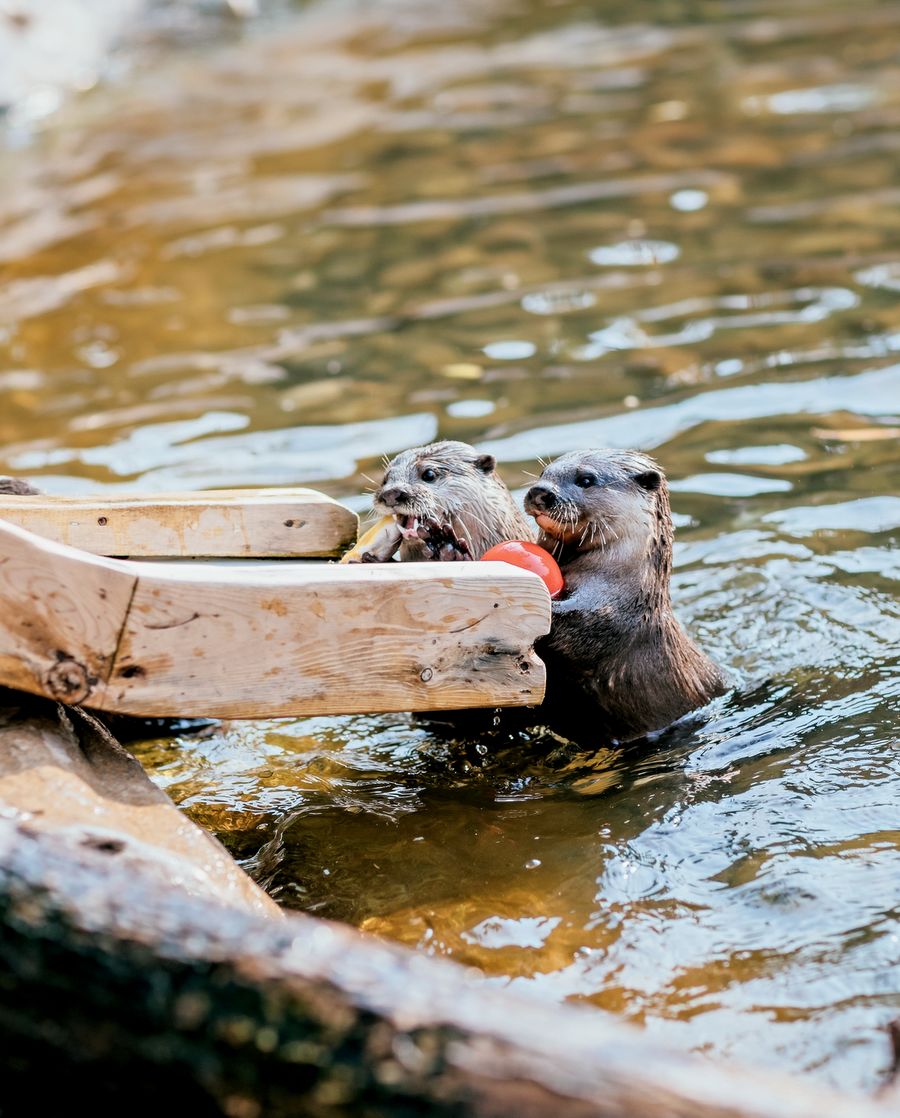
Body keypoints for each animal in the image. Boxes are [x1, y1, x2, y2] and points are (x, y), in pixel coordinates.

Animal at [524, 449, 727, 742]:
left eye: (586, 479)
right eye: (543, 473)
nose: (540, 491)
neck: (626, 586)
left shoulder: (606, 616)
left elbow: (569, 630)